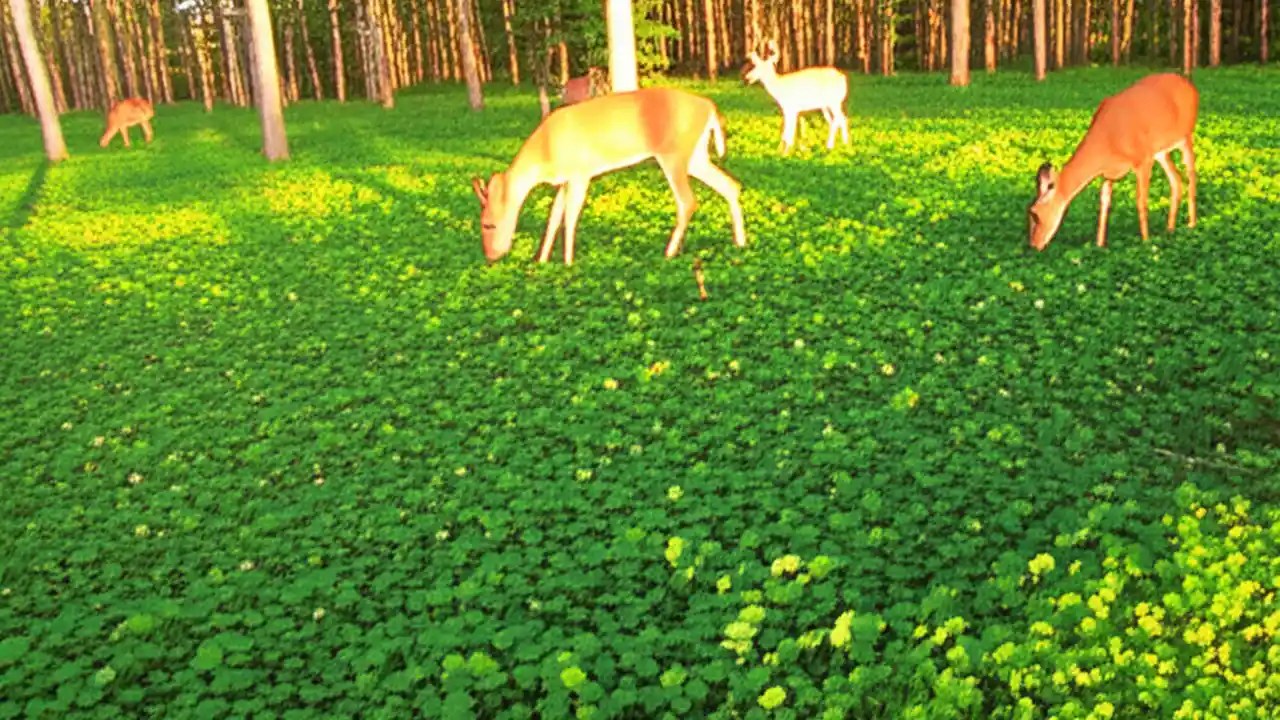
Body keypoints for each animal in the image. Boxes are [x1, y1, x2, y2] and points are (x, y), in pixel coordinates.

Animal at [471, 87, 747, 266]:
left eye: (488, 223)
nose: (490, 257)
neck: (545, 150)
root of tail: (710, 108)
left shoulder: (580, 172)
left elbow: (570, 216)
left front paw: (568, 263)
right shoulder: (564, 180)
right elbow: (554, 216)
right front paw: (541, 260)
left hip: (674, 154)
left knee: (687, 201)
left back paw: (668, 253)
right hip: (696, 156)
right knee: (731, 185)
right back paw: (741, 243)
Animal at [1027, 73, 1199, 251]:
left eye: (1034, 213)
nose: (1034, 245)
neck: (1109, 139)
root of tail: (1188, 84)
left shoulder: (1142, 160)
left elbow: (1141, 201)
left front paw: (1146, 241)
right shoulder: (1108, 172)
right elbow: (1104, 201)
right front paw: (1099, 244)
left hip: (1186, 136)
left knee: (1191, 175)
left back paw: (1192, 224)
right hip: (1161, 152)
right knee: (1176, 180)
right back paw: (1170, 228)